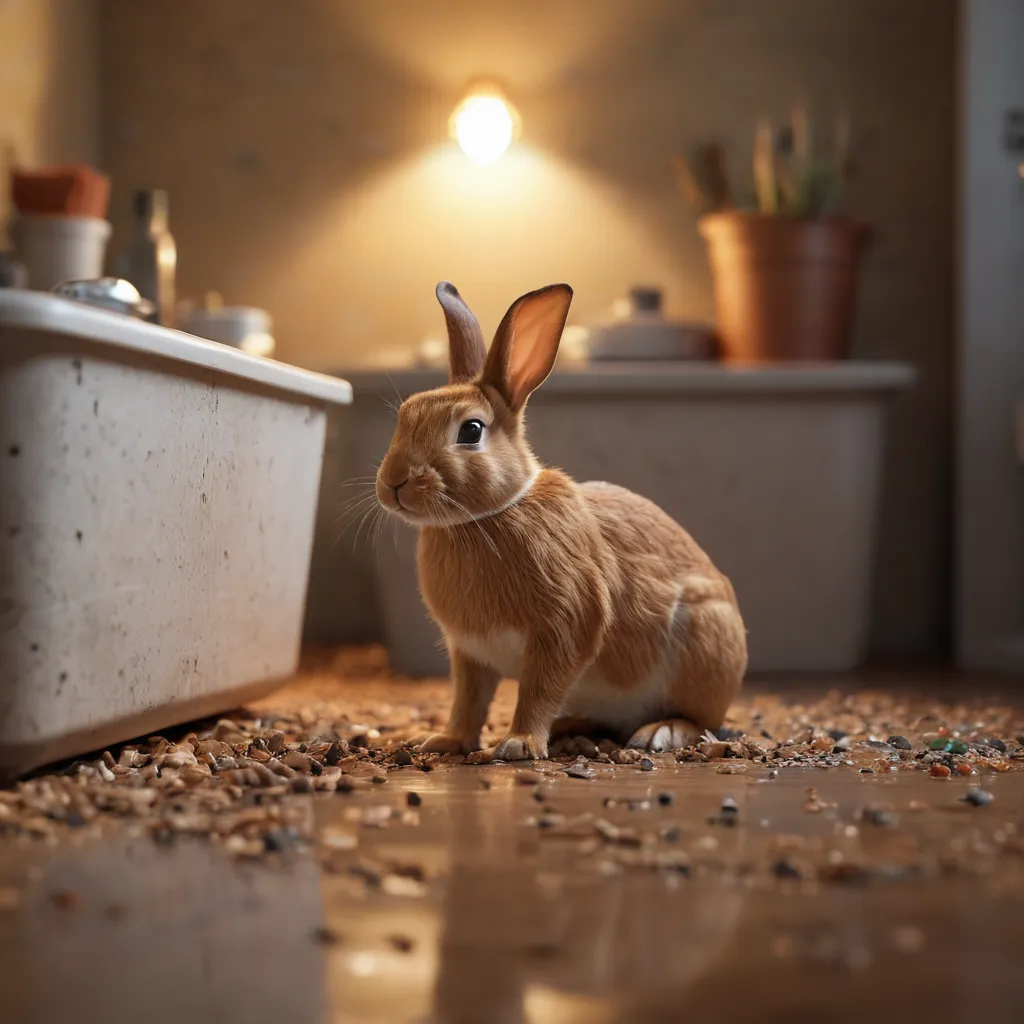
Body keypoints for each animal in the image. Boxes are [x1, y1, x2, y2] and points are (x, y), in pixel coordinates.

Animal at [375, 281, 747, 761]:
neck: (491, 513)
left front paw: (519, 744)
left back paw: (660, 732)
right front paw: (447, 741)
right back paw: (571, 727)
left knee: (699, 719)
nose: (394, 482)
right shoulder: (470, 652)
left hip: (705, 643)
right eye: (405, 414)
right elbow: (468, 699)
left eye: (471, 431)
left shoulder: (566, 626)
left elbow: (538, 690)